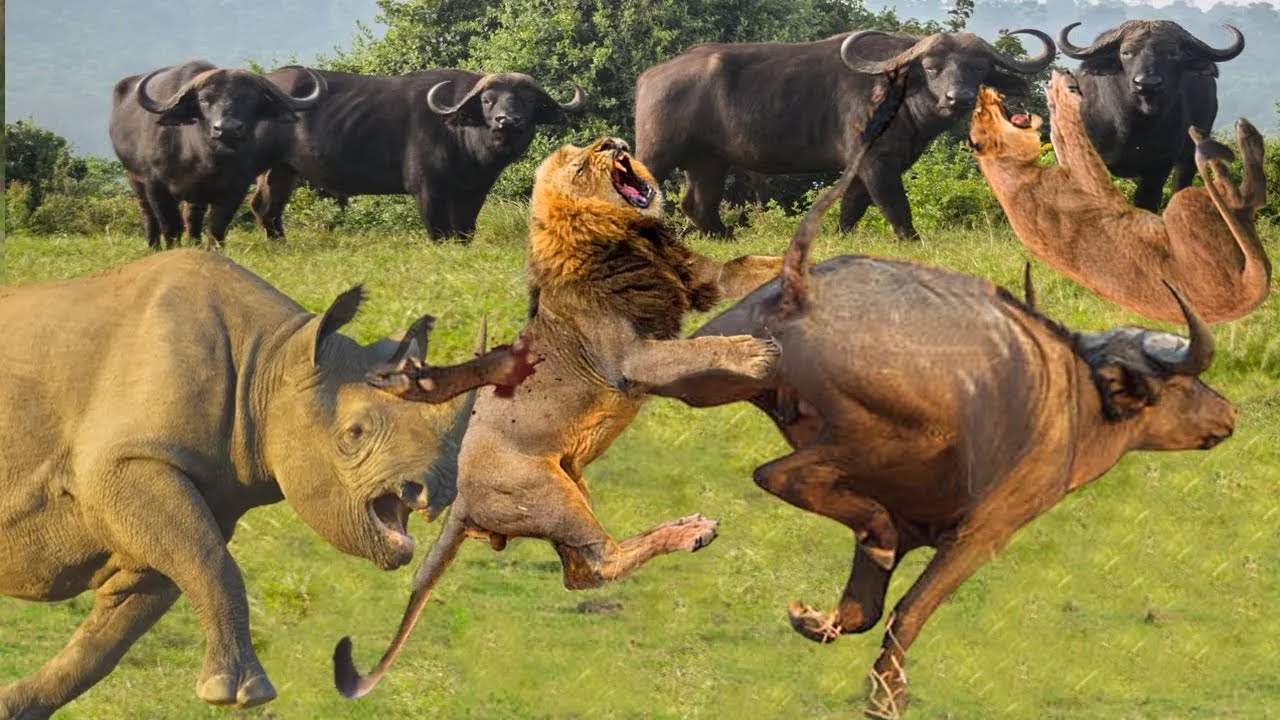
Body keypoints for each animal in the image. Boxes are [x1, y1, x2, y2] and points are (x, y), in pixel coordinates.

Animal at [331, 137, 784, 698]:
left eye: (598, 145)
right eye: (584, 160)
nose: (615, 142)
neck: (629, 237)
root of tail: (461, 502)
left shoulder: (702, 278)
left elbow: (756, 262)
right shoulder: (632, 359)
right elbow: (700, 347)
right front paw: (754, 352)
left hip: (571, 485)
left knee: (582, 573)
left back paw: (685, 527)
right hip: (551, 494)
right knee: (603, 561)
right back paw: (689, 533)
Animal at [969, 69, 1270, 324]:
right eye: (980, 111)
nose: (983, 87)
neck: (1011, 173)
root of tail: (1248, 292)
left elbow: (1060, 138)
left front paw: (1055, 92)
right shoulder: (1089, 178)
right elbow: (1074, 134)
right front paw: (1065, 91)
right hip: (1184, 204)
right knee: (1245, 199)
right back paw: (1242, 132)